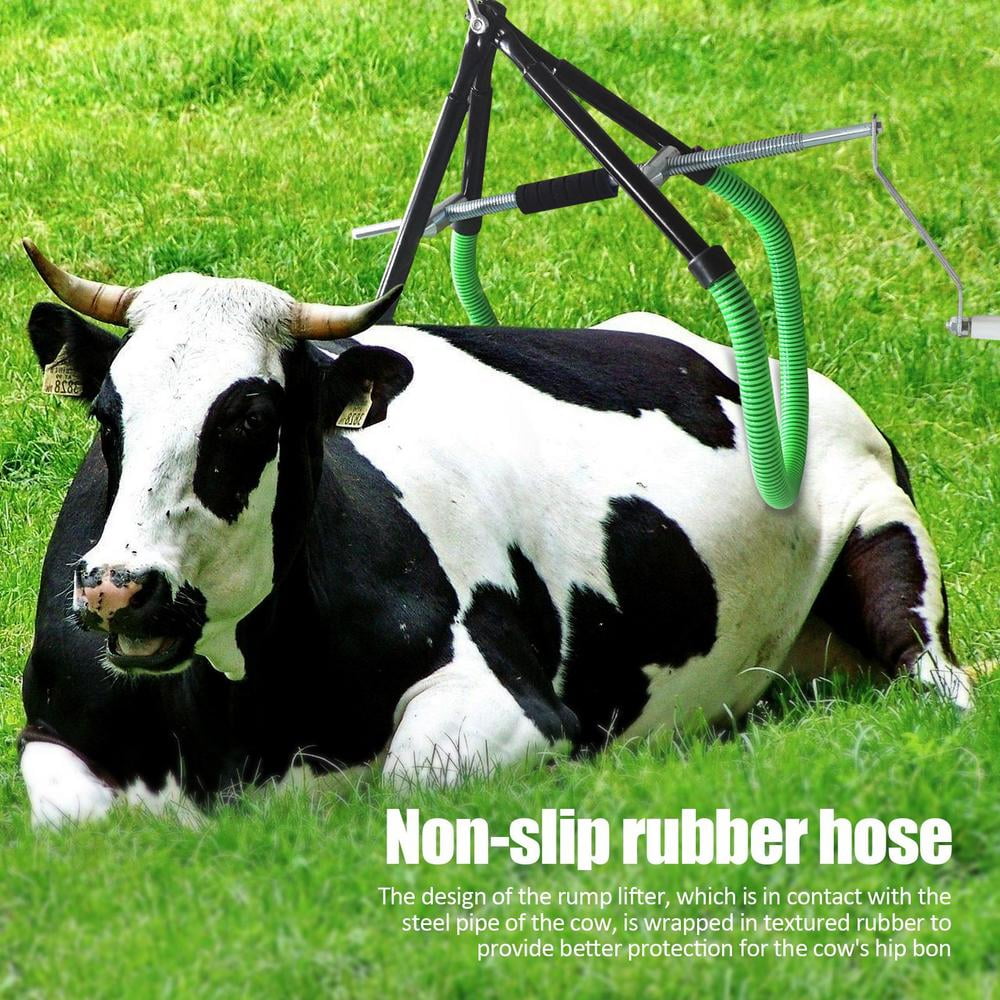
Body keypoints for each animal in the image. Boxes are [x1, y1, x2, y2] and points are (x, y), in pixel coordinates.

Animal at [16, 240, 971, 827]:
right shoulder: (50, 730)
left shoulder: (513, 701)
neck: (233, 725)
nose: (120, 589)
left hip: (879, 524)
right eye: (107, 415)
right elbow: (83, 818)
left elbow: (407, 779)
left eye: (252, 419)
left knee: (935, 669)